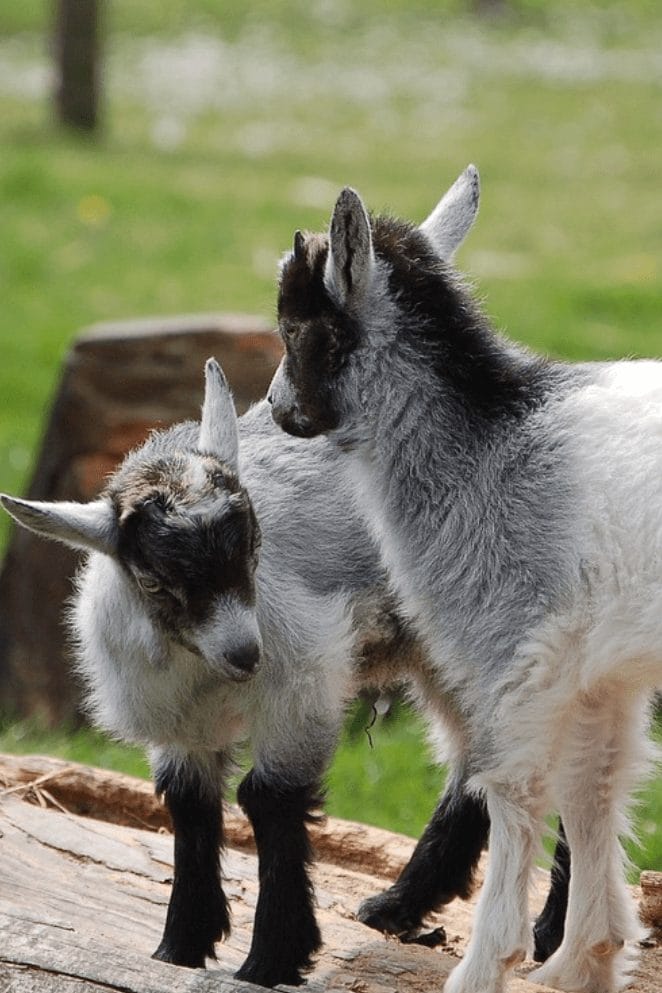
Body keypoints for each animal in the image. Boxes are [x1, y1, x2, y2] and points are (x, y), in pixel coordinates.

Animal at [268, 167, 660, 993]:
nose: (282, 411)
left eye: (294, 327)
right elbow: (595, 783)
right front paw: (586, 959)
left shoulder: (514, 656)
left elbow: (513, 786)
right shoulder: (599, 674)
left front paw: (489, 963)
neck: (487, 447)